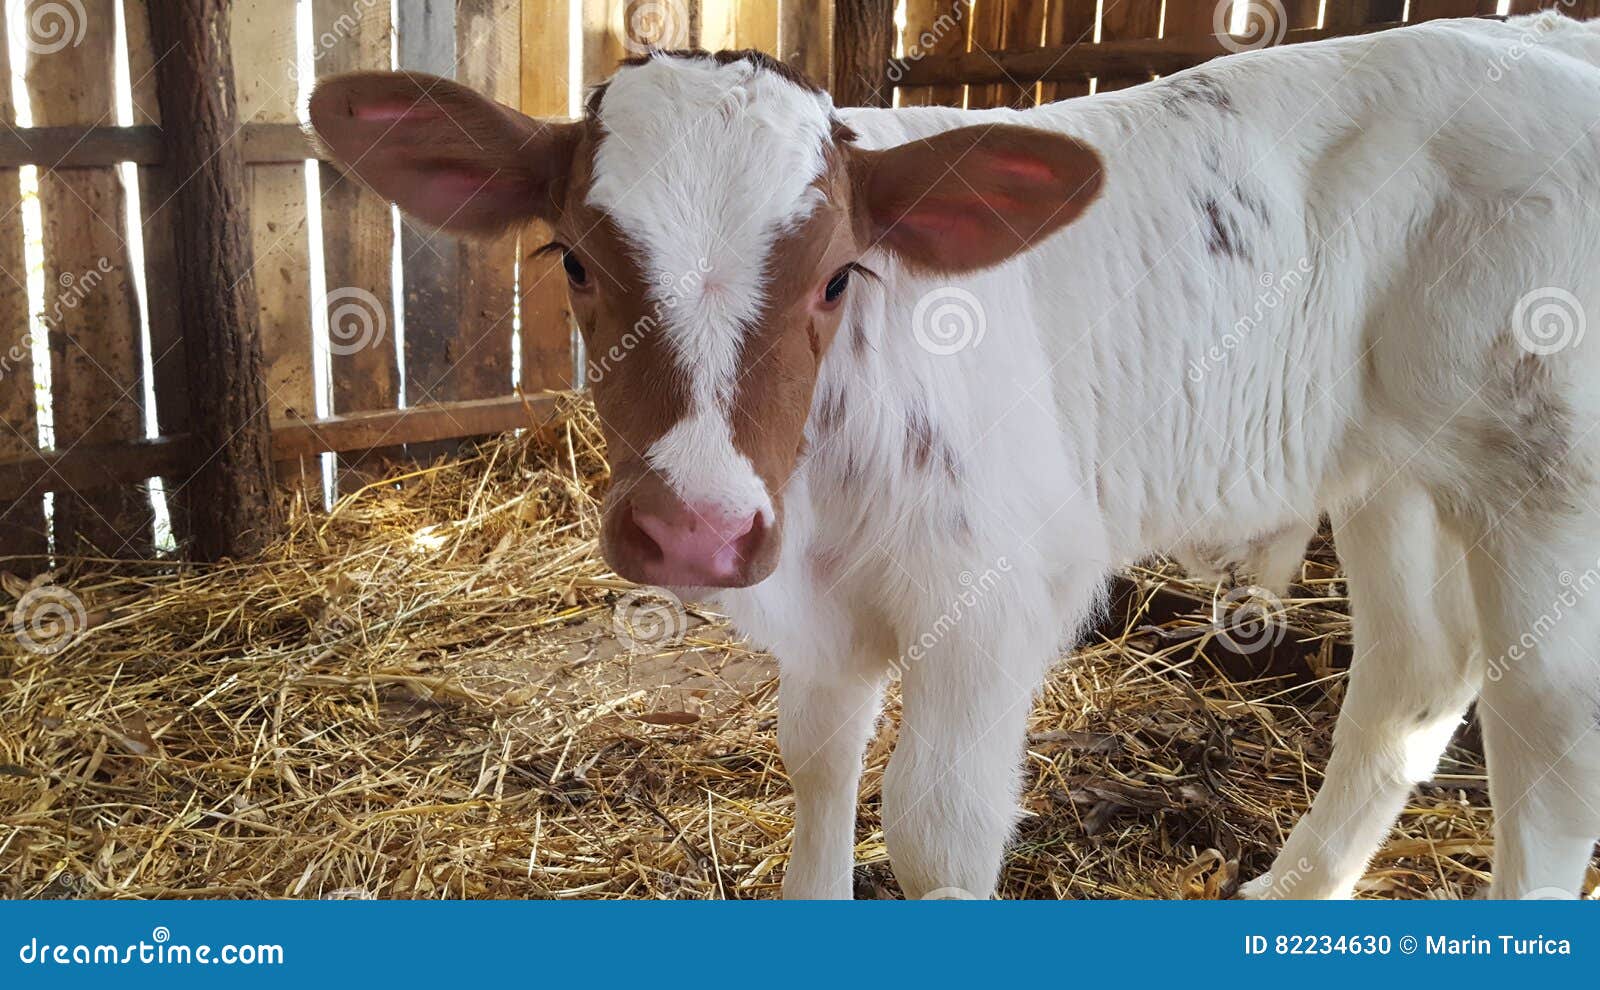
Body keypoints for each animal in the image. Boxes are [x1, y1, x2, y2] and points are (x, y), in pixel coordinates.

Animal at [309, 12, 1600, 899]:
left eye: (838, 276)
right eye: (573, 260)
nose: (696, 530)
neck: (819, 506)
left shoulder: (992, 602)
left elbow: (936, 832)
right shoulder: (819, 619)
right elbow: (817, 763)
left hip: (1550, 484)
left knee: (1550, 732)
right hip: (1400, 471)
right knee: (1413, 680)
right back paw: (1289, 890)